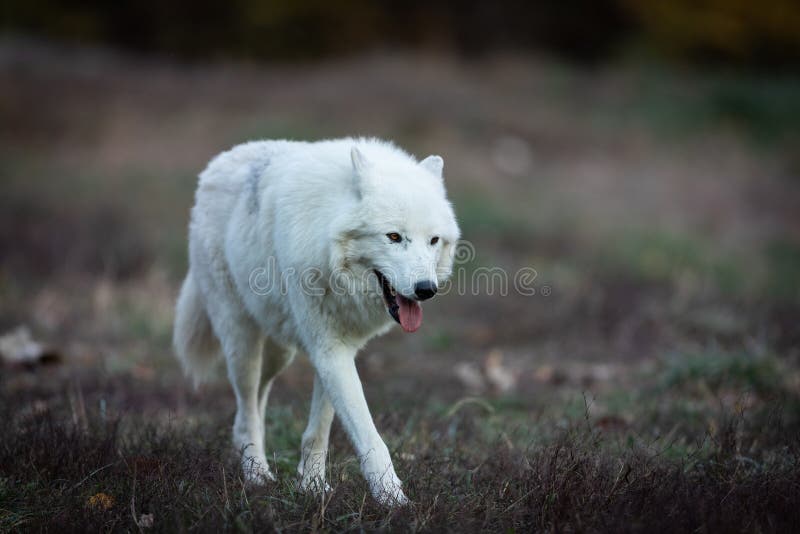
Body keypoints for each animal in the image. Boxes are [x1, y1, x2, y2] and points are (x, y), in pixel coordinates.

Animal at [173, 137, 460, 505]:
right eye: (394, 237)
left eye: (433, 240)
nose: (426, 289)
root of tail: (217, 163)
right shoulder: (328, 348)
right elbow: (369, 435)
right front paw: (393, 500)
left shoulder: (336, 347)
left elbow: (319, 429)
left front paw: (310, 486)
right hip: (242, 343)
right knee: (248, 406)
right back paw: (256, 474)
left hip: (280, 353)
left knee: (253, 406)